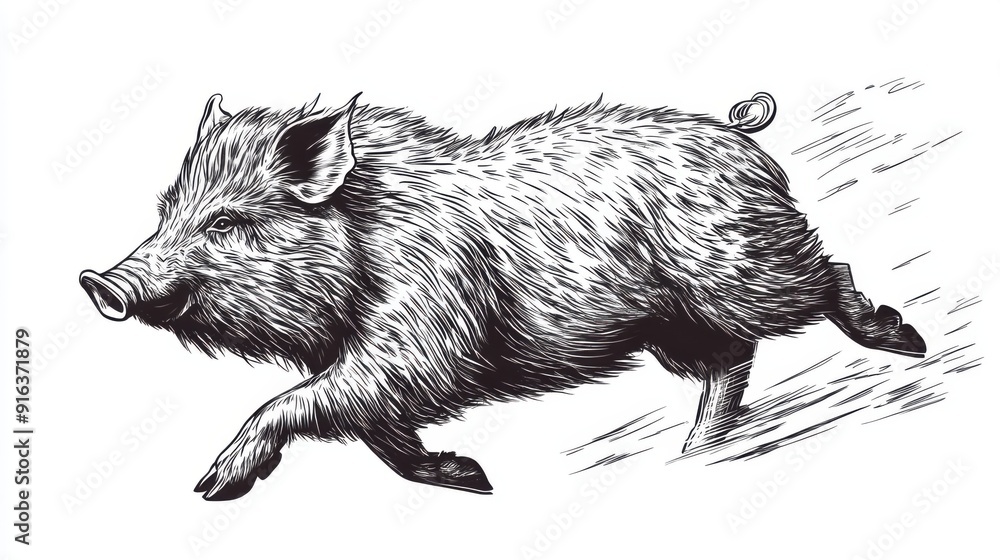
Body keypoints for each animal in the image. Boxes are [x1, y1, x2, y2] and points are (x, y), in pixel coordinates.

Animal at [79, 91, 926, 500]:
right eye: (167, 210)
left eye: (226, 222)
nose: (98, 283)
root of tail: (740, 138)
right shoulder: (374, 368)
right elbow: (381, 438)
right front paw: (475, 480)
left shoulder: (419, 338)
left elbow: (305, 403)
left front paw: (212, 487)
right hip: (674, 323)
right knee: (732, 360)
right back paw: (697, 453)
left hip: (742, 271)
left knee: (825, 279)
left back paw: (903, 339)